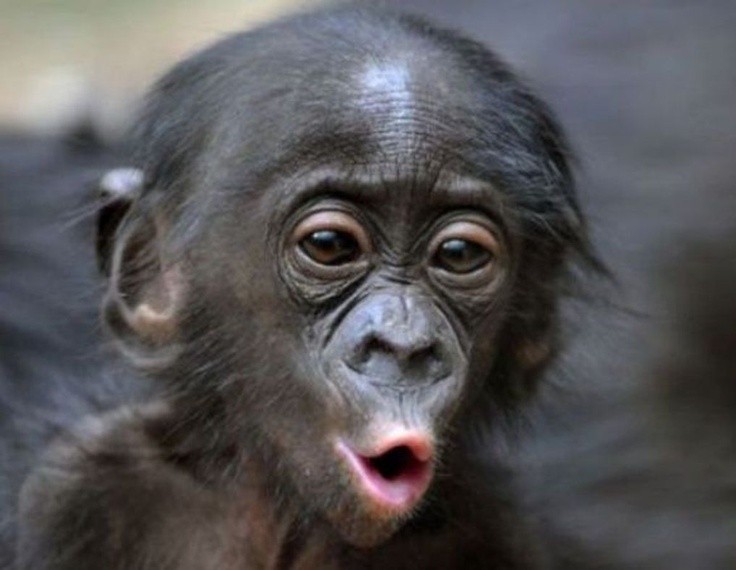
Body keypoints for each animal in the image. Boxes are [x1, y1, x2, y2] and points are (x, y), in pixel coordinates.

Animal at [4, 6, 603, 569]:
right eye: (329, 244)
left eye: (458, 255)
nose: (404, 345)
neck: (282, 515)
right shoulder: (70, 491)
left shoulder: (502, 534)